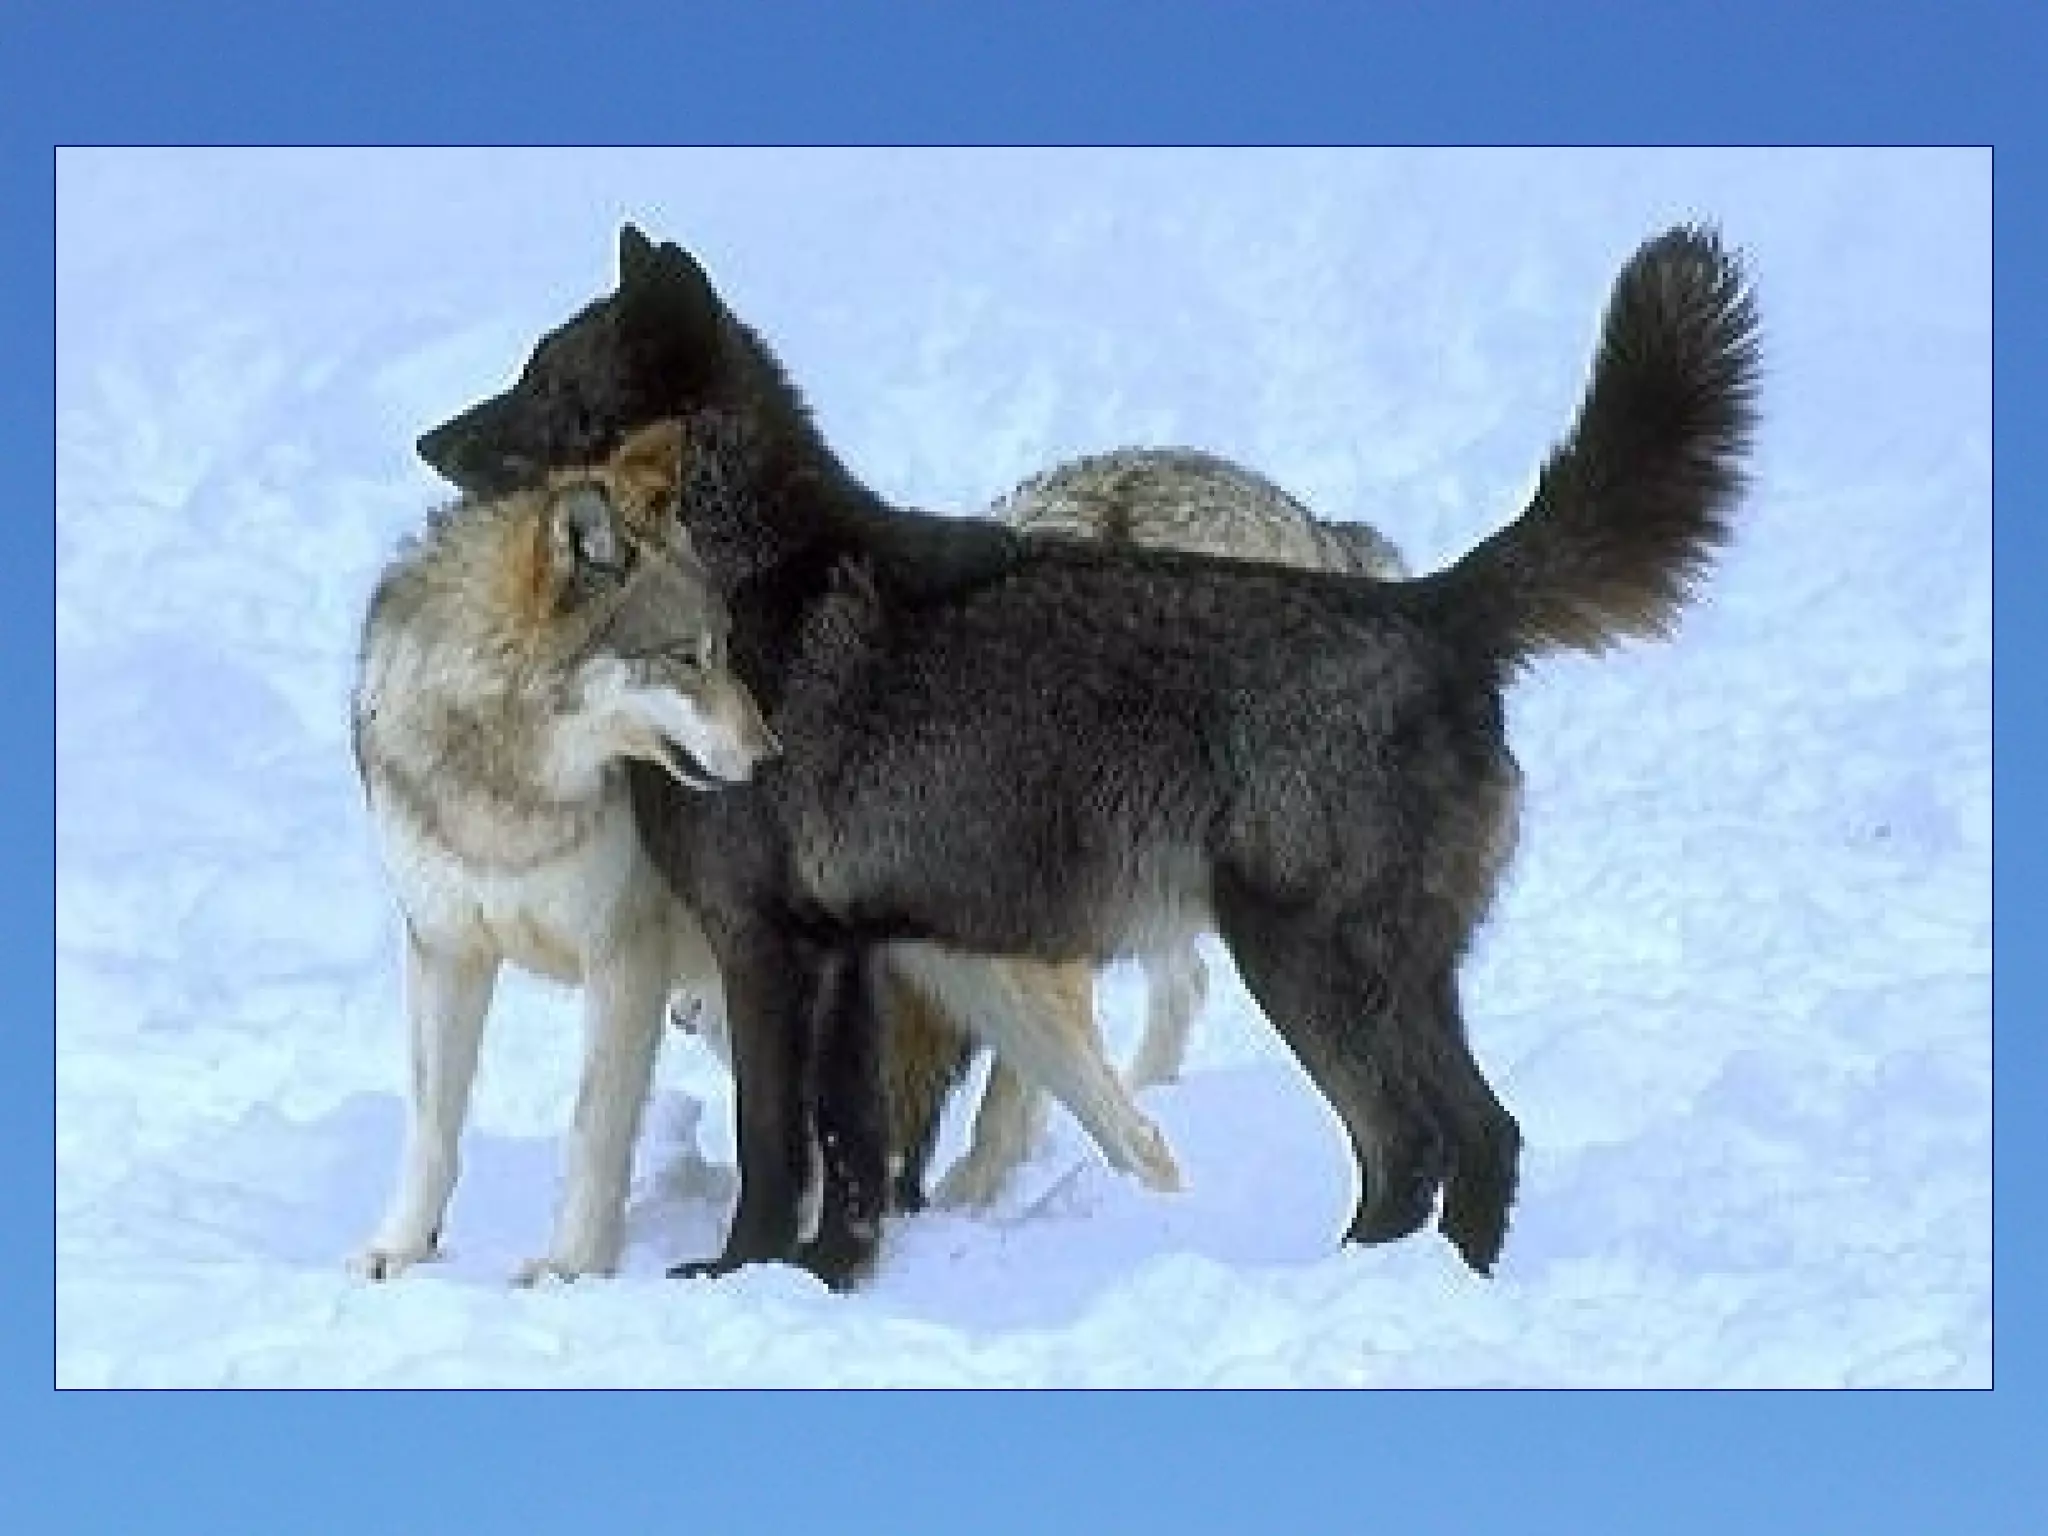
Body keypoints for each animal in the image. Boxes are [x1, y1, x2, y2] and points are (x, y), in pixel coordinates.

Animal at [350, 420, 778, 1285]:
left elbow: (593, 1133)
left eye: (725, 649)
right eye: (687, 657)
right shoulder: (444, 950)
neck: (508, 795)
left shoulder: (623, 961)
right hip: (718, 1010)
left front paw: (569, 1271)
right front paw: (401, 1248)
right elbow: (432, 1126)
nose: (772, 756)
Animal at [419, 222, 1759, 1290]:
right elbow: (850, 1151)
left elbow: (771, 1142)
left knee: (1425, 1143)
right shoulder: (851, 955)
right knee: (1474, 1141)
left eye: (544, 380)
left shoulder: (764, 948)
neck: (750, 579)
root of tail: (1430, 606)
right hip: (1393, 973)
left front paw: (740, 1274)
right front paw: (826, 1278)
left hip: (1310, 965)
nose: (428, 440)